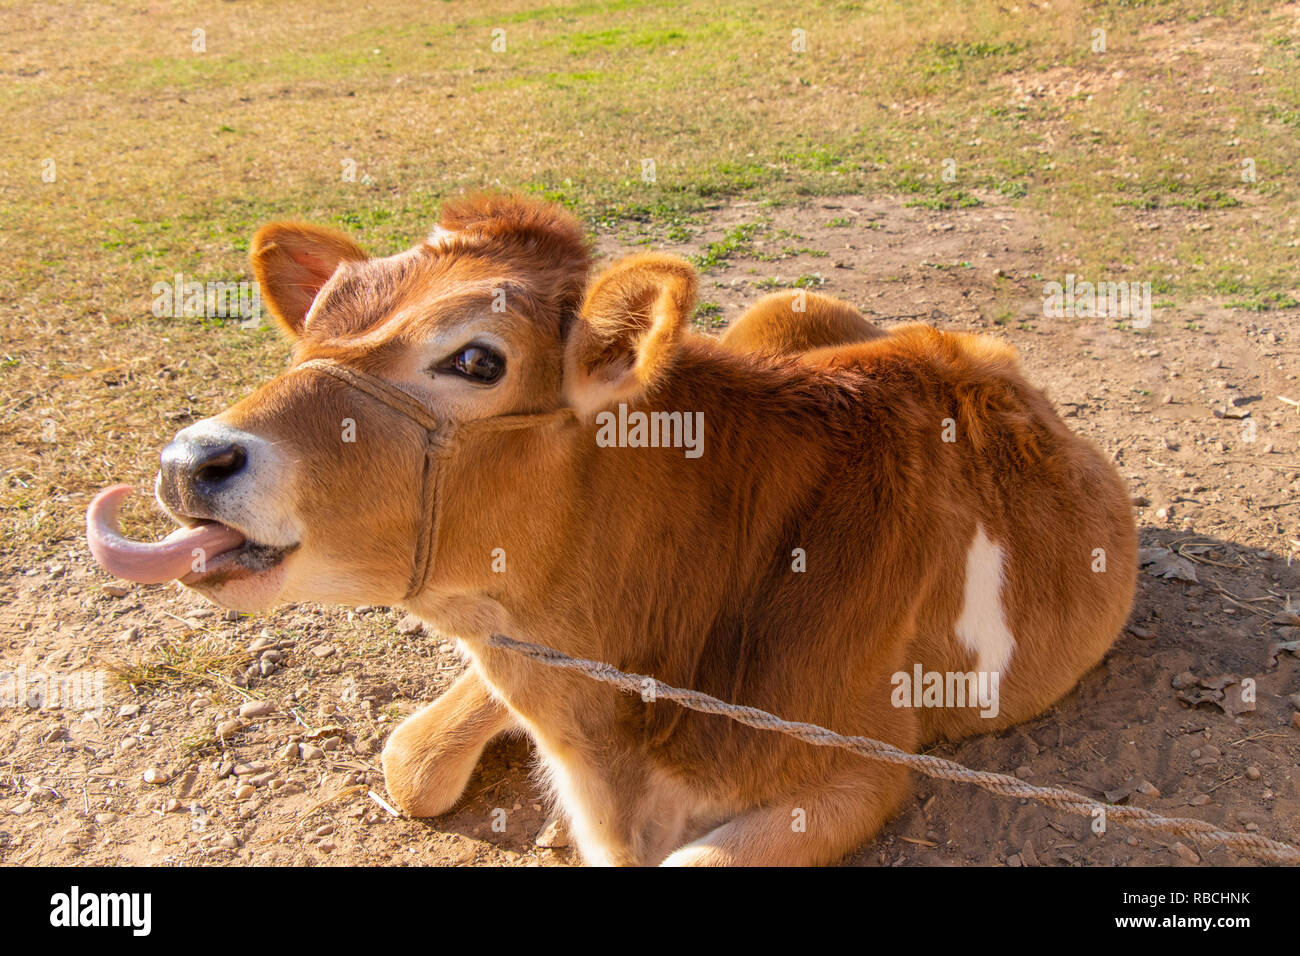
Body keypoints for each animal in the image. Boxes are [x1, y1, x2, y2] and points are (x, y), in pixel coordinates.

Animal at [87, 193, 1137, 866]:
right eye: (311, 330)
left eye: (476, 358)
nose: (191, 460)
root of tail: (960, 346)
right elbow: (410, 759)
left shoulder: (862, 766)